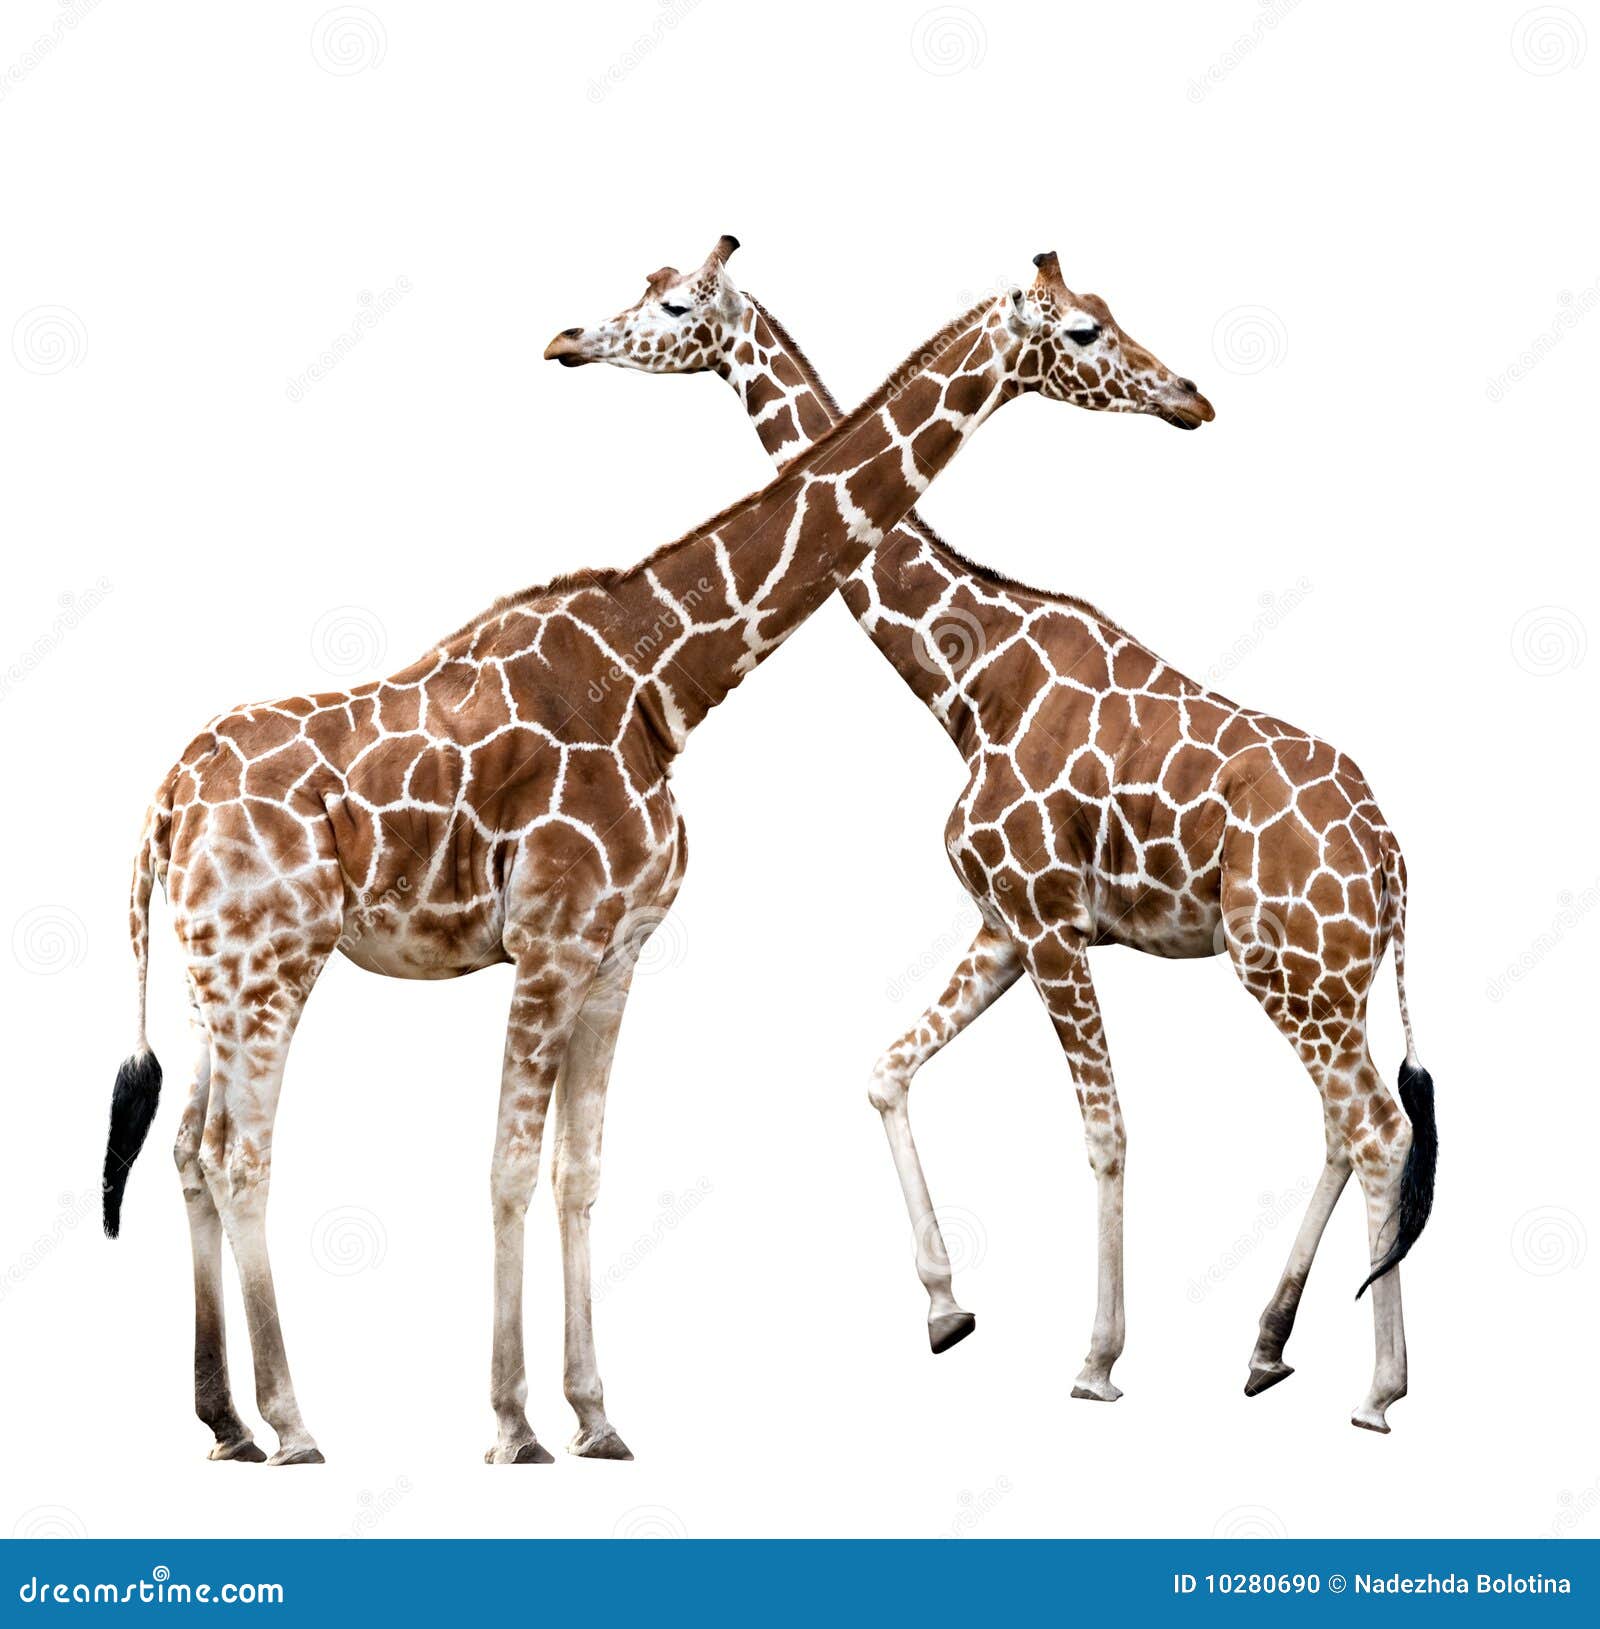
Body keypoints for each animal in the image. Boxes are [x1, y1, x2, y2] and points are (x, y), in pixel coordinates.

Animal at [102, 252, 1214, 1464]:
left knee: (187, 1150)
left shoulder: (614, 955)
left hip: (218, 977)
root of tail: (165, 800)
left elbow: (579, 1172)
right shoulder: (547, 942)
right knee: (240, 1155)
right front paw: (511, 1426)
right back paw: (295, 1424)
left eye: (669, 297)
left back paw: (226, 1421)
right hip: (272, 965)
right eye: (1084, 332)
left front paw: (594, 1417)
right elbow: (505, 1167)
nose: (1190, 398)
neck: (661, 680)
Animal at [546, 237, 1436, 1433]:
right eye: (1088, 322)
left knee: (1379, 1128)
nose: (1189, 397)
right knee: (1348, 1123)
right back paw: (1265, 1347)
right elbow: (885, 1068)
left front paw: (1095, 1360)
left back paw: (1378, 1390)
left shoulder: (1052, 921)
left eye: (679, 304)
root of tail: (1392, 860)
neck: (968, 680)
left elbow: (1106, 1131)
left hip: (1292, 965)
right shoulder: (1004, 925)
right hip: (1315, 973)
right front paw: (944, 1307)